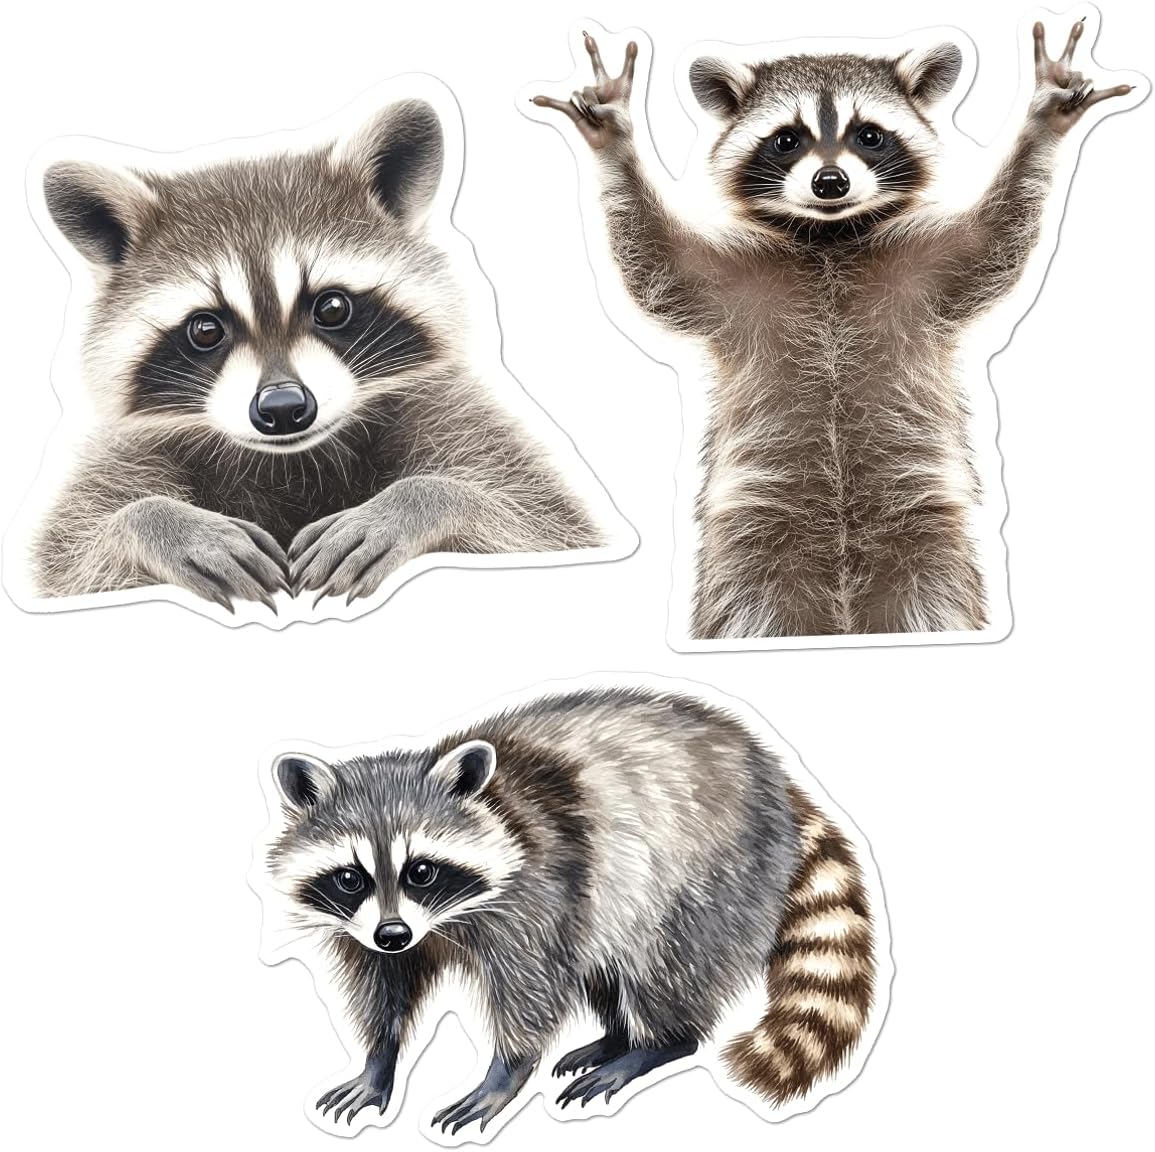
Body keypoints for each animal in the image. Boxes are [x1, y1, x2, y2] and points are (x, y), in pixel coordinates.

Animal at [35, 99, 602, 612]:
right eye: (205, 329)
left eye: (331, 307)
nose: (283, 408)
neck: (291, 462)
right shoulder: (132, 449)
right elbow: (73, 562)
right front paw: (159, 522)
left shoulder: (446, 411)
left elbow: (544, 524)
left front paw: (420, 501)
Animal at [266, 687, 879, 1134]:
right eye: (350, 878)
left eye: (422, 870)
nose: (393, 933)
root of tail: (778, 778)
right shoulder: (363, 927)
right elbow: (383, 985)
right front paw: (378, 1060)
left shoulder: (540, 887)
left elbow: (532, 988)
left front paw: (504, 1074)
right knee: (607, 966)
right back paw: (616, 1038)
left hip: (710, 874)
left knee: (666, 964)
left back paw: (654, 1044)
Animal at [533, 19, 1139, 637]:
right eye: (787, 140)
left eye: (868, 135)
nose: (830, 182)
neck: (829, 239)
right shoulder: (732, 286)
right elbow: (656, 266)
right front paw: (613, 141)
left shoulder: (925, 273)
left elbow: (994, 245)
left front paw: (1044, 124)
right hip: (751, 551)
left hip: (929, 543)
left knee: (935, 602)